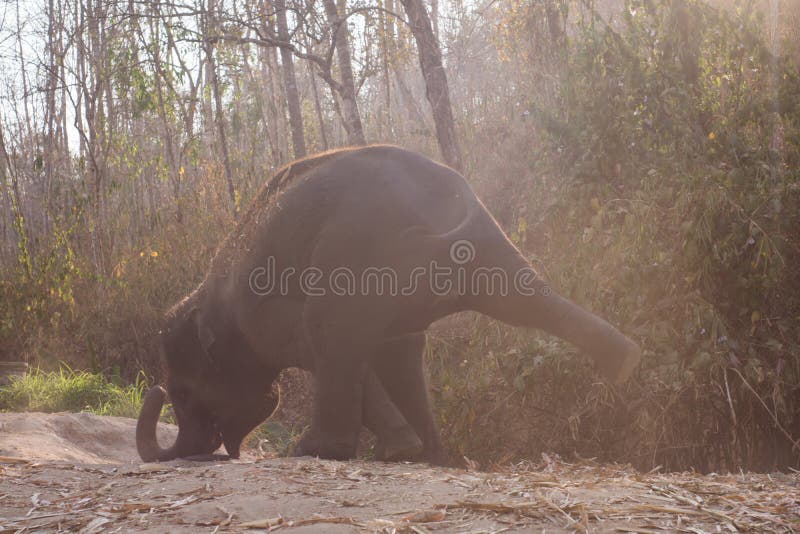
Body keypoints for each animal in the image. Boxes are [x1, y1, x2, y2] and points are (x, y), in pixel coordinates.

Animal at [135, 145, 641, 464]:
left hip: (359, 254)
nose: (155, 389)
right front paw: (406, 451)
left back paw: (317, 449)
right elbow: (377, 352)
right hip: (482, 248)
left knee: (329, 326)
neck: (208, 294)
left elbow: (318, 343)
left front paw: (393, 450)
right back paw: (623, 361)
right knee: (515, 302)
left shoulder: (264, 313)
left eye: (181, 391)